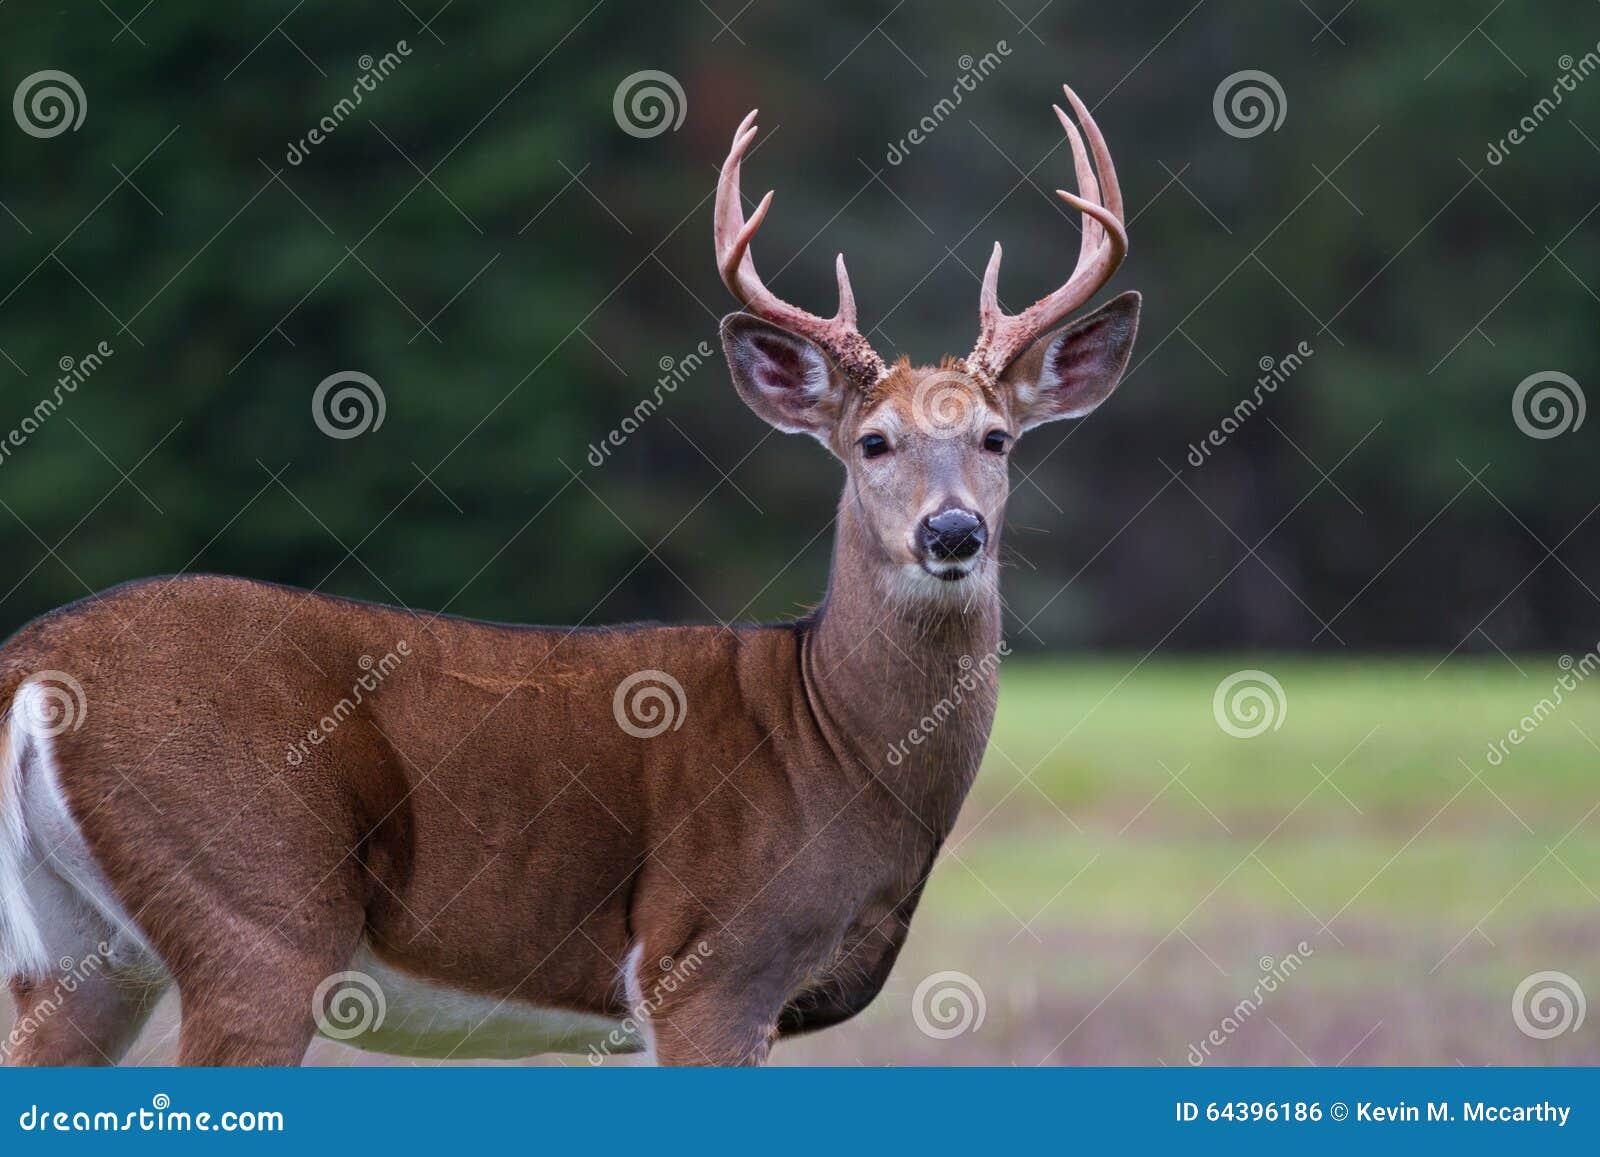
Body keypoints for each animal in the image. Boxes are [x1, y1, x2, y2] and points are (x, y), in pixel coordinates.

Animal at [0, 84, 1138, 1067]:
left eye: (997, 438)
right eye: (872, 442)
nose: (951, 532)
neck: (836, 743)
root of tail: (32, 664)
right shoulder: (707, 962)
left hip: (77, 953)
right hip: (260, 913)